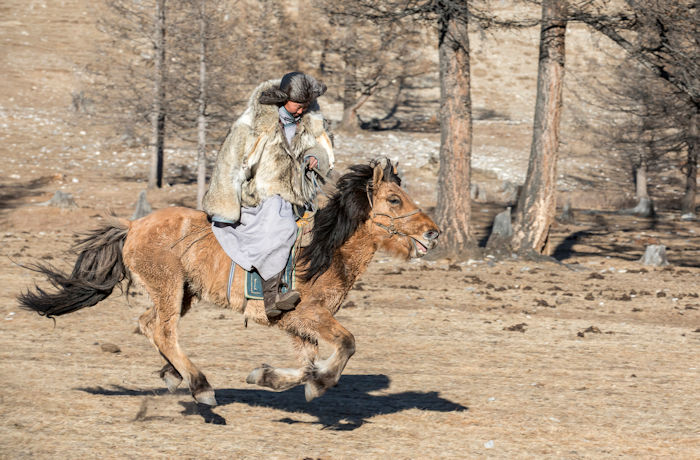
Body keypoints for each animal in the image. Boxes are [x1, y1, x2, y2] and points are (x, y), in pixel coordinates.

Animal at [18, 158, 440, 406]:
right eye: (394, 199)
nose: (434, 233)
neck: (324, 252)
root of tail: (133, 225)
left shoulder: (298, 327)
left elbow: (305, 365)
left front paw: (268, 376)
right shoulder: (306, 316)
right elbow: (346, 345)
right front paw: (319, 383)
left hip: (181, 294)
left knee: (148, 325)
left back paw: (175, 375)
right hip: (169, 288)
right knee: (163, 331)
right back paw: (200, 385)